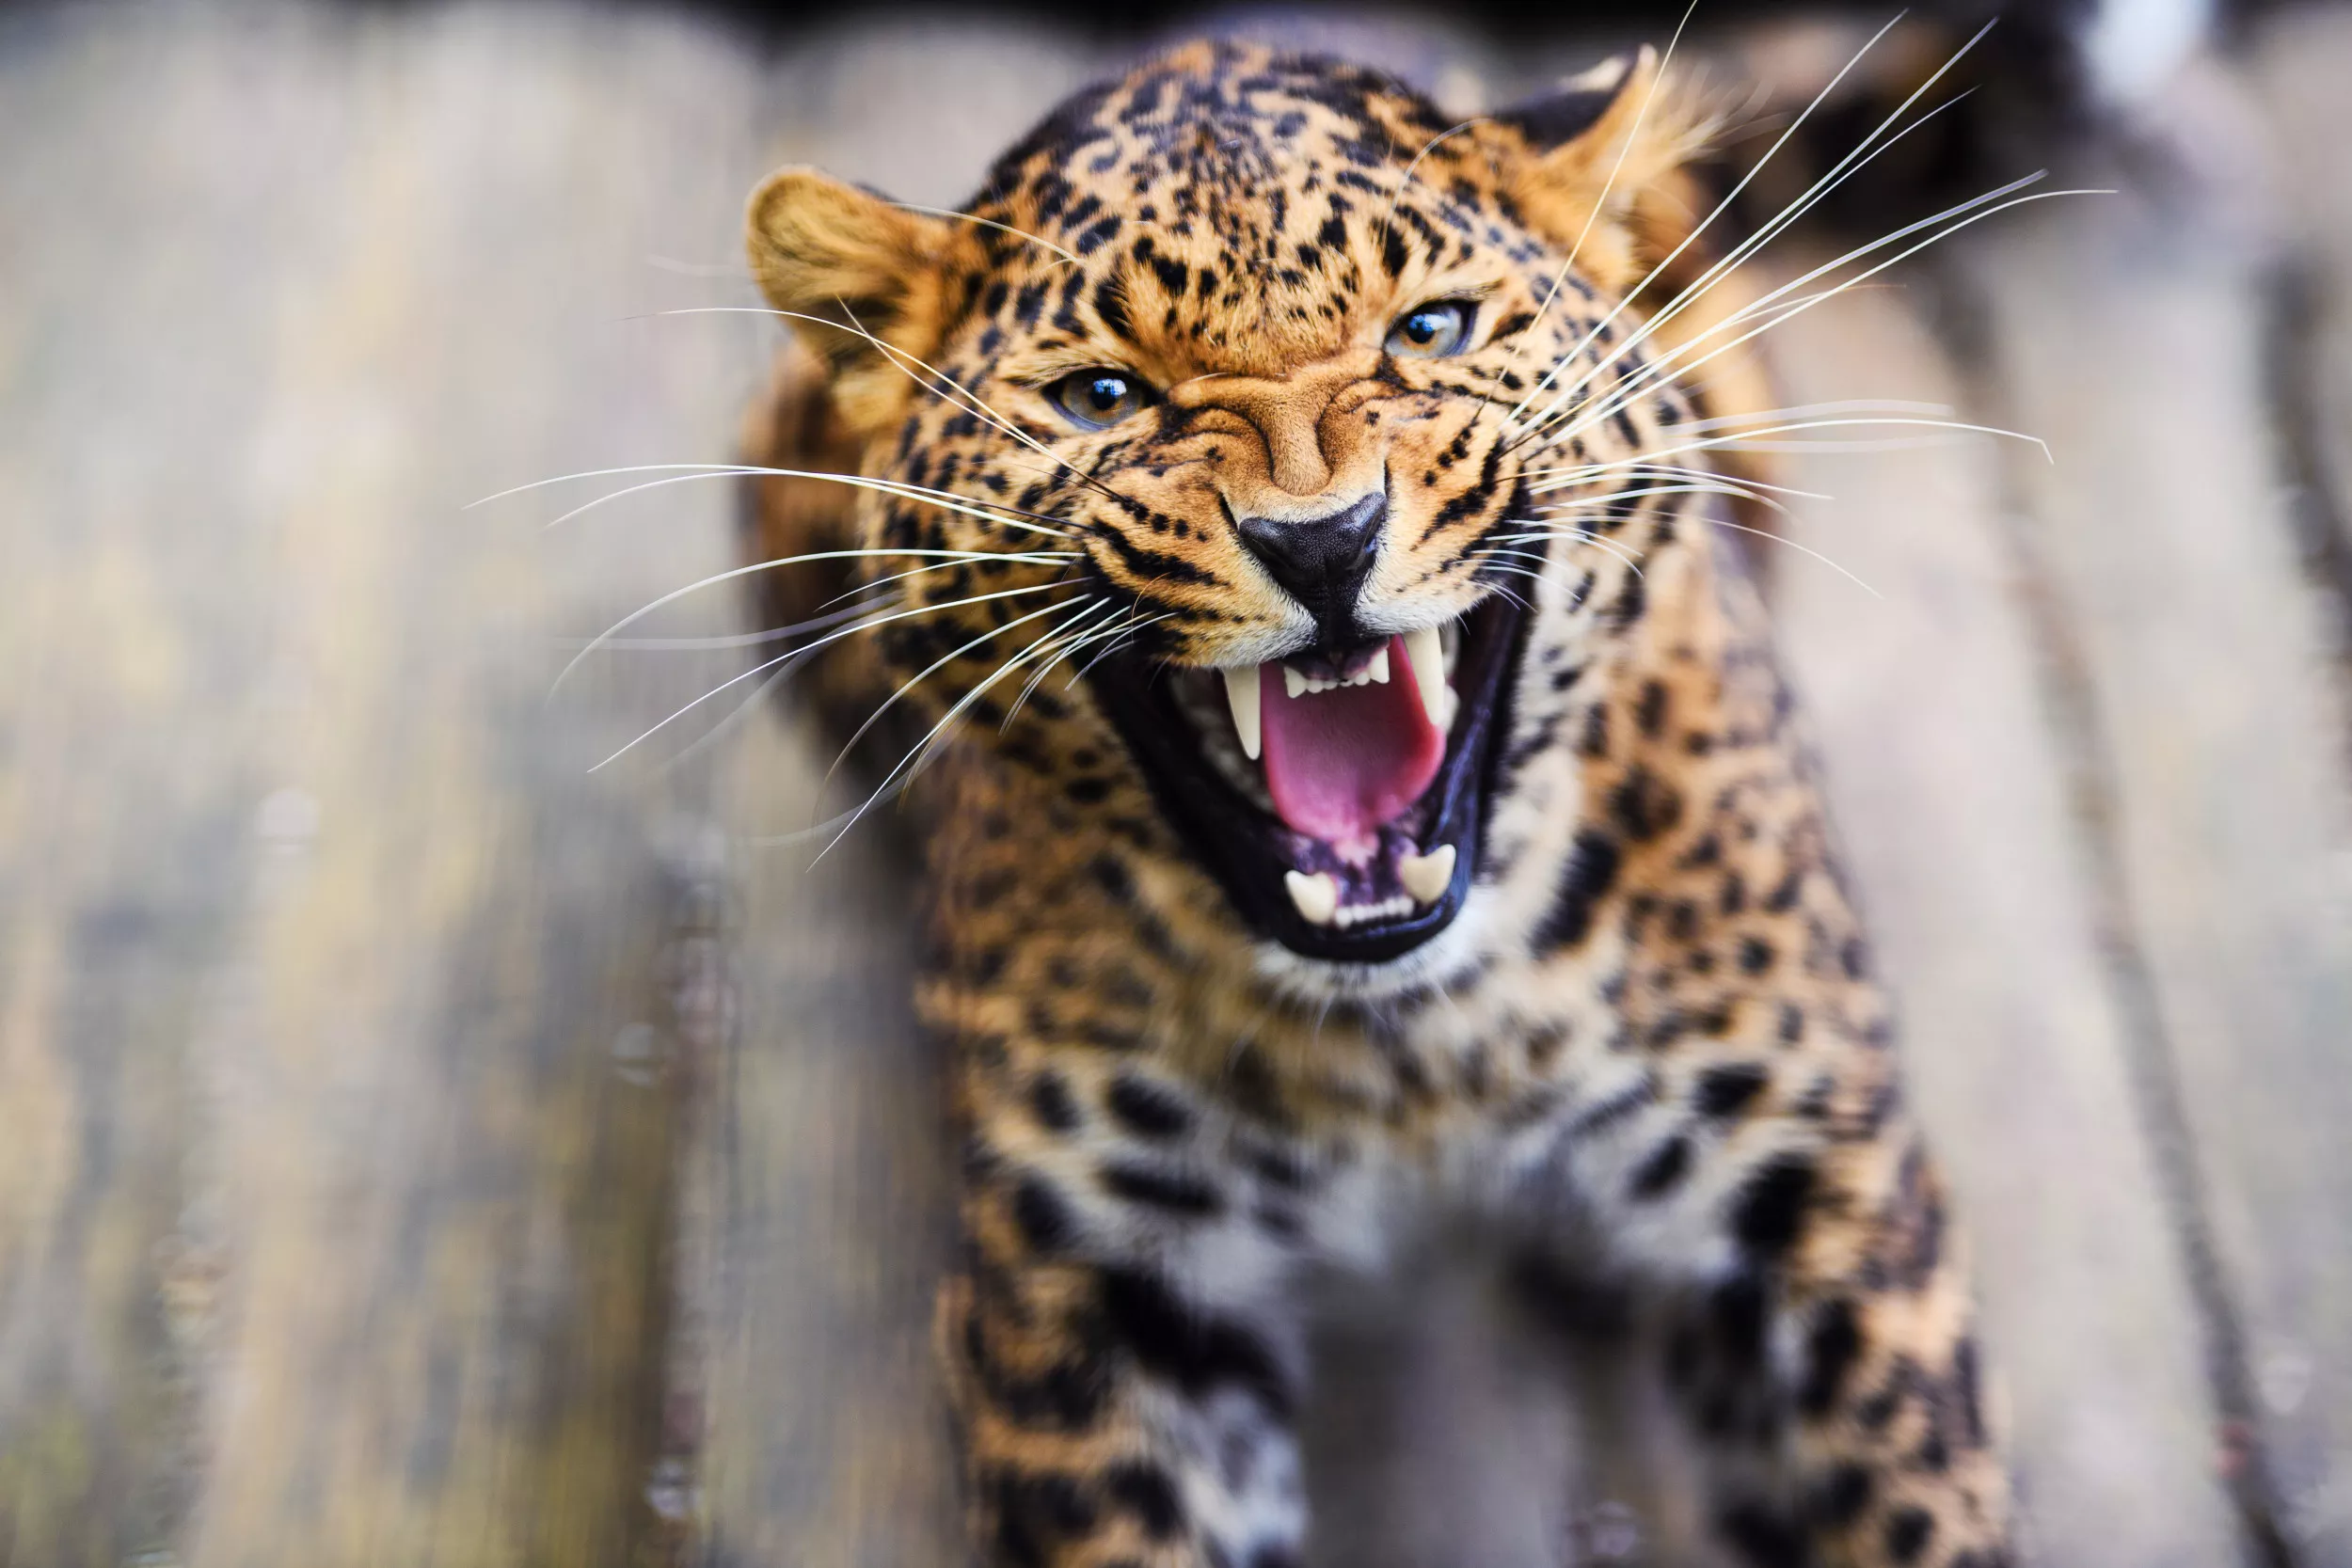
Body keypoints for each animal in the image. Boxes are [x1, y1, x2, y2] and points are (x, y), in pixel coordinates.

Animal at [736, 37, 2011, 1568]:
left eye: (1433, 330)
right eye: (1104, 397)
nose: (1321, 542)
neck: (1415, 1045)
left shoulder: (1818, 1194)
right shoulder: (1093, 1291)